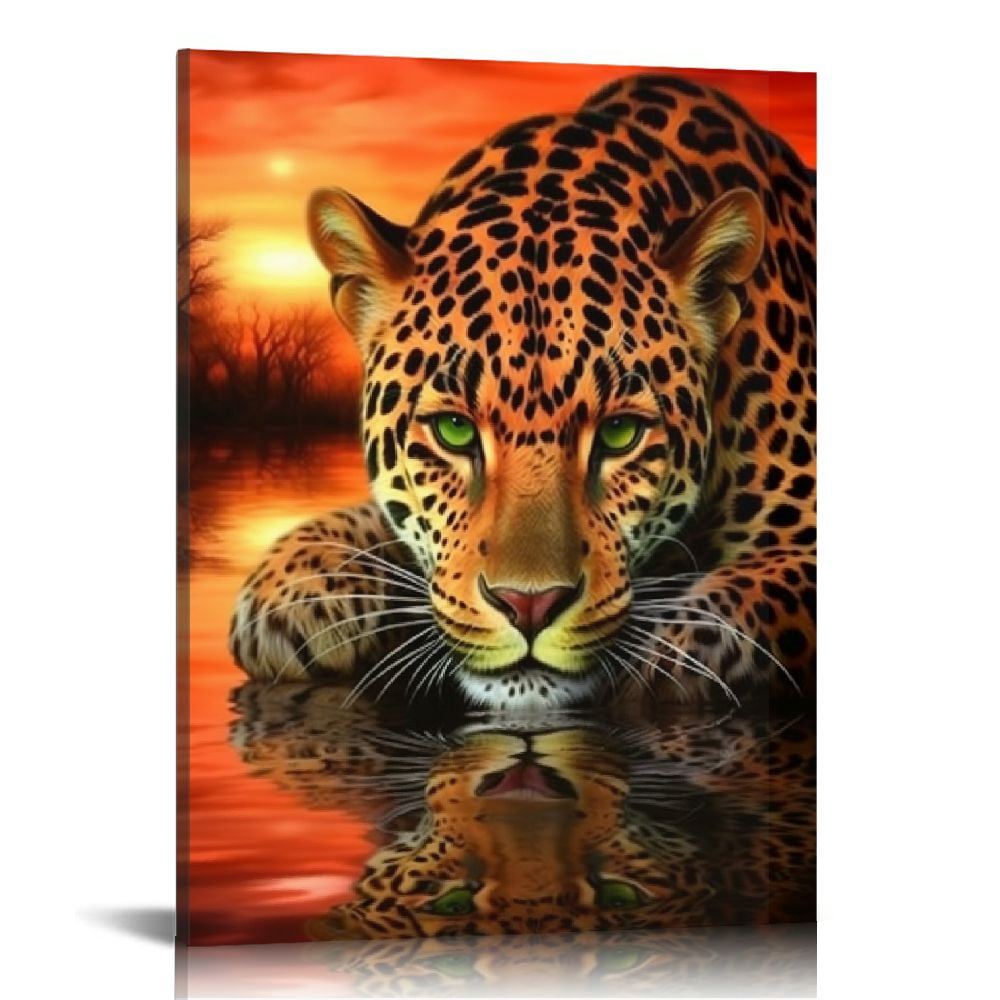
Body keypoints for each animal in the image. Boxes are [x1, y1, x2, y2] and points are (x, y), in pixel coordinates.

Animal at [228, 72, 817, 712]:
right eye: (454, 429)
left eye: (620, 433)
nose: (529, 605)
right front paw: (297, 590)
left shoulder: (803, 536)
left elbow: (738, 607)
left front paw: (673, 662)